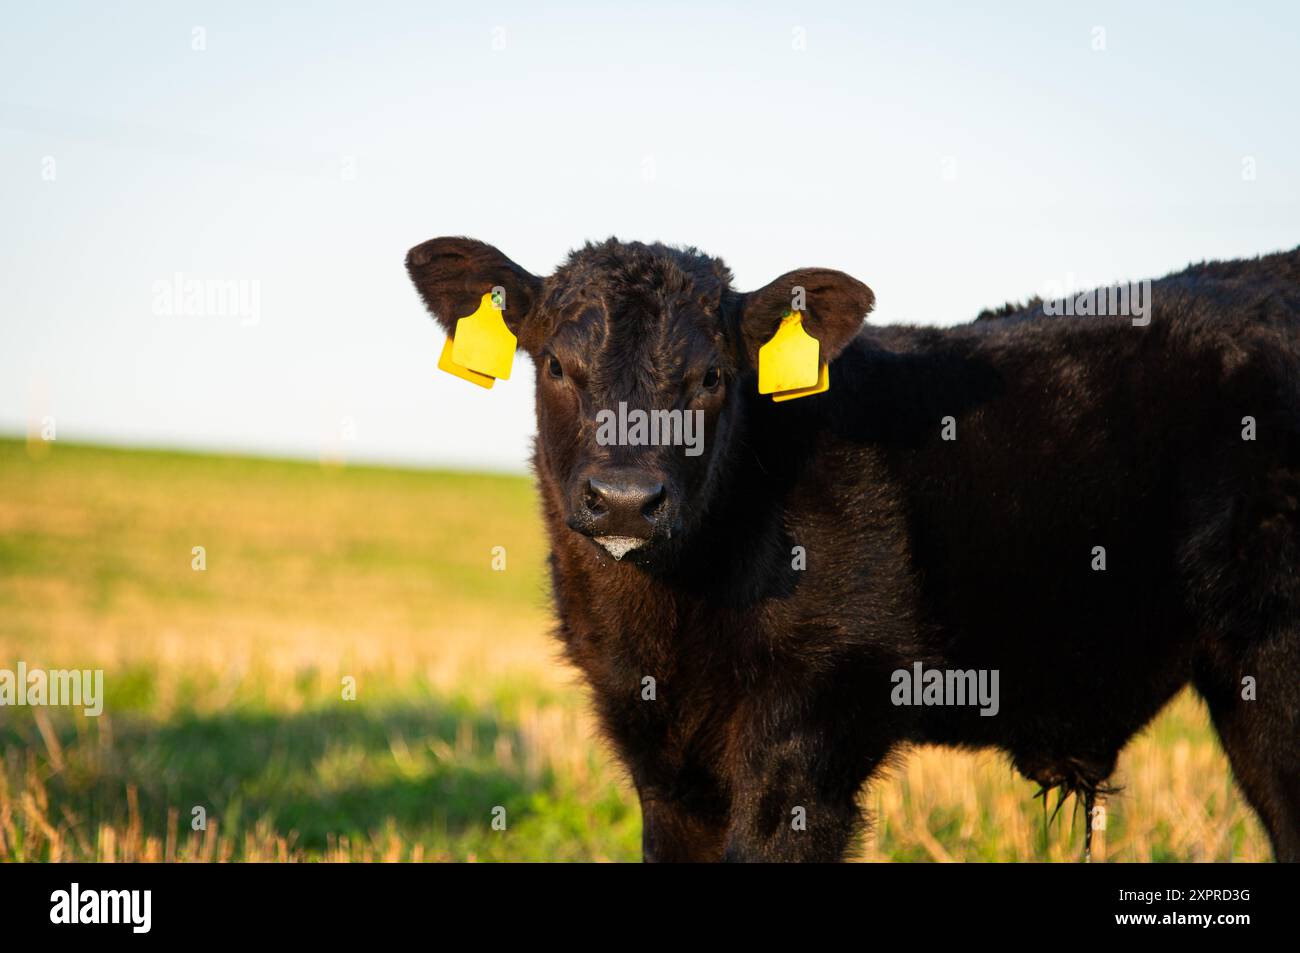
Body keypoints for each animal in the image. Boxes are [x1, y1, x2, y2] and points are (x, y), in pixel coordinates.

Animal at [406, 237, 1300, 862]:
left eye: (712, 378)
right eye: (556, 365)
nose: (626, 496)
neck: (673, 618)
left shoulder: (813, 724)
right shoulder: (655, 749)